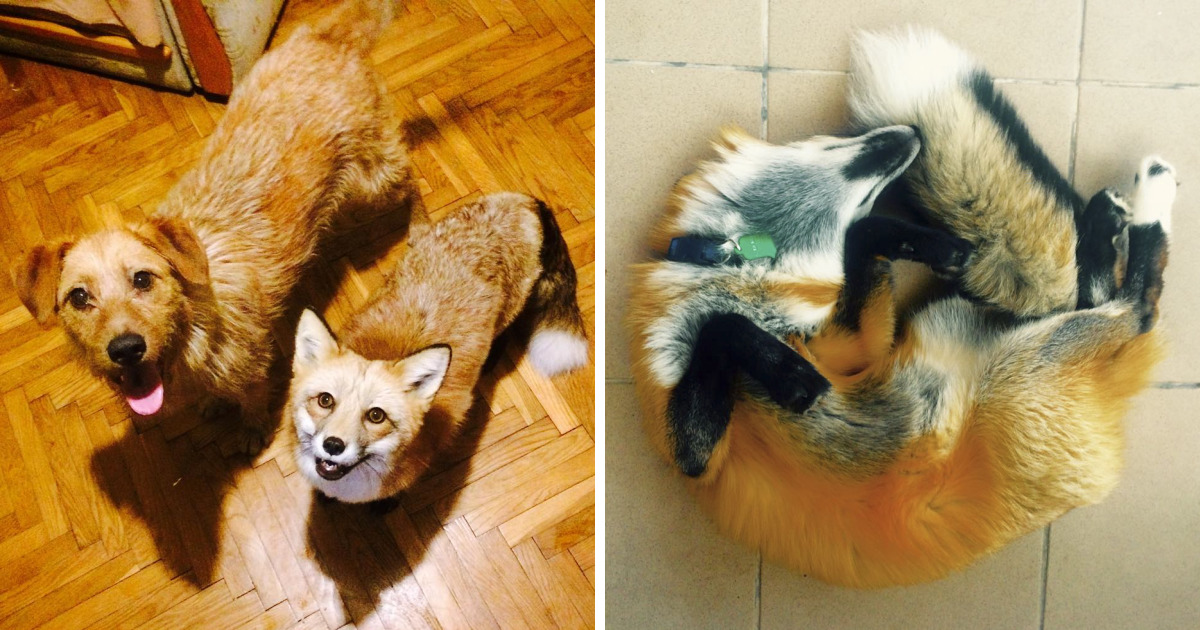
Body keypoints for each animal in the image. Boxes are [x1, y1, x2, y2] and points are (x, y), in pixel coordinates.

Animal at [628, 121, 1175, 587]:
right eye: (827, 140)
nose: (911, 132)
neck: (735, 275)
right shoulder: (696, 455)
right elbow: (723, 328)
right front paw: (790, 377)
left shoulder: (847, 347)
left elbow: (857, 239)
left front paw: (933, 246)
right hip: (998, 334)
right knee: (1129, 305)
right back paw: (1134, 207)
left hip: (998, 337)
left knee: (1131, 305)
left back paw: (1135, 204)